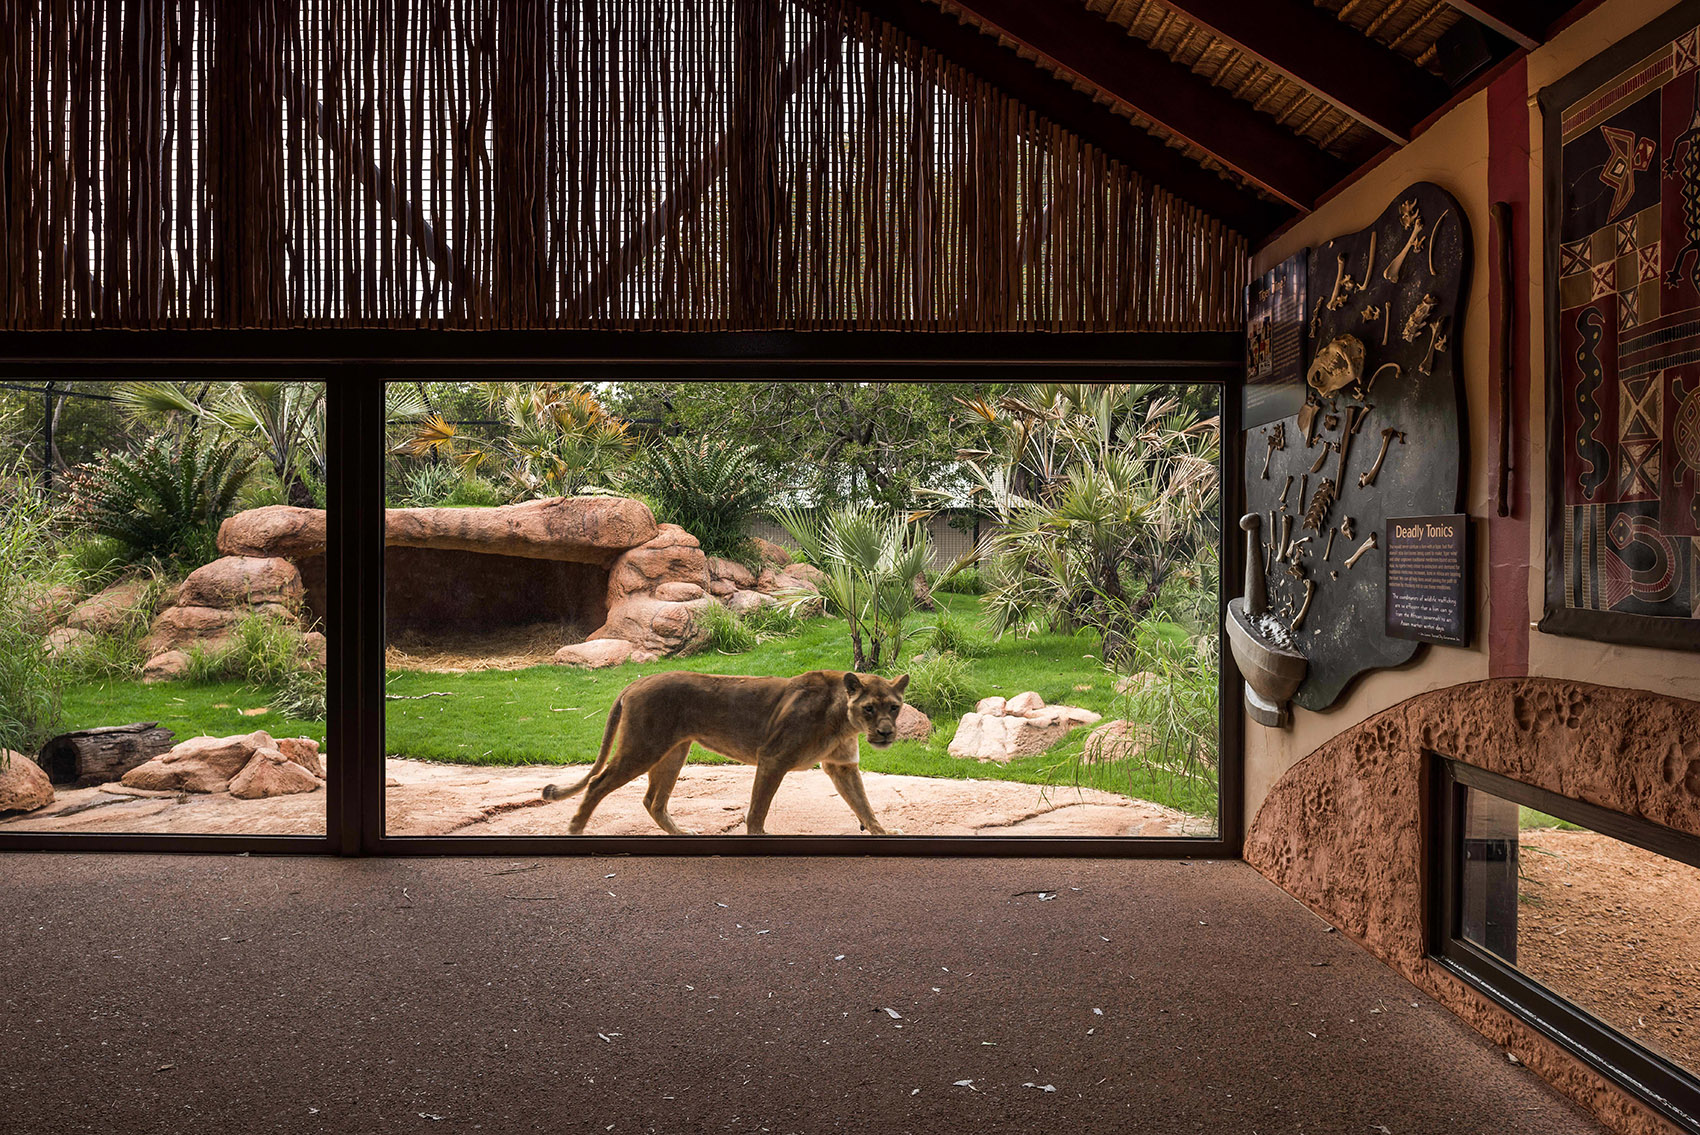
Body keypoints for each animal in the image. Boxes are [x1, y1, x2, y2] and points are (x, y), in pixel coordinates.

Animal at [540, 669, 909, 836]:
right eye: (869, 708)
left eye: (894, 707)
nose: (886, 732)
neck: (843, 721)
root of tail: (636, 682)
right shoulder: (773, 758)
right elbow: (758, 809)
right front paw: (758, 837)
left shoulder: (841, 766)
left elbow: (863, 804)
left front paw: (883, 832)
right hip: (643, 747)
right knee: (597, 784)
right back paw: (574, 830)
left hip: (673, 752)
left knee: (652, 800)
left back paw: (681, 834)